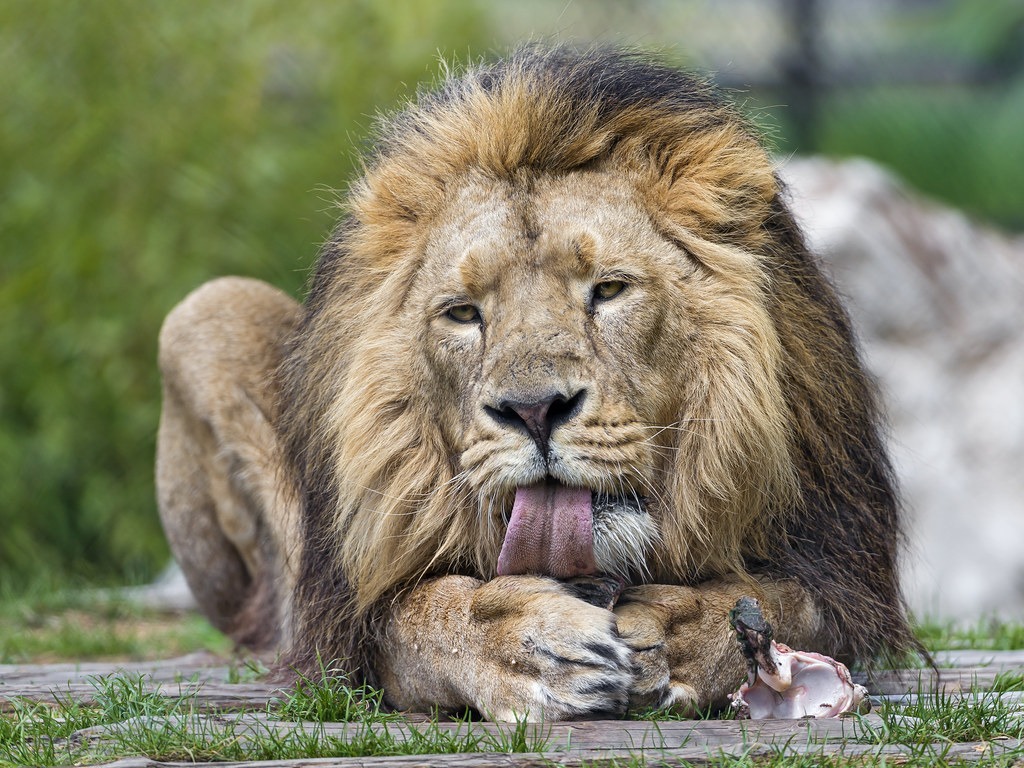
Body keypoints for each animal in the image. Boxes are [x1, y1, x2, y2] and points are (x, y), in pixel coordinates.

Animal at [157, 47, 922, 721]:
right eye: (464, 313)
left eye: (608, 290)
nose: (533, 410)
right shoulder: (345, 622)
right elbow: (420, 617)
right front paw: (528, 648)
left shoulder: (841, 570)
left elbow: (783, 603)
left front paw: (673, 639)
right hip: (203, 312)